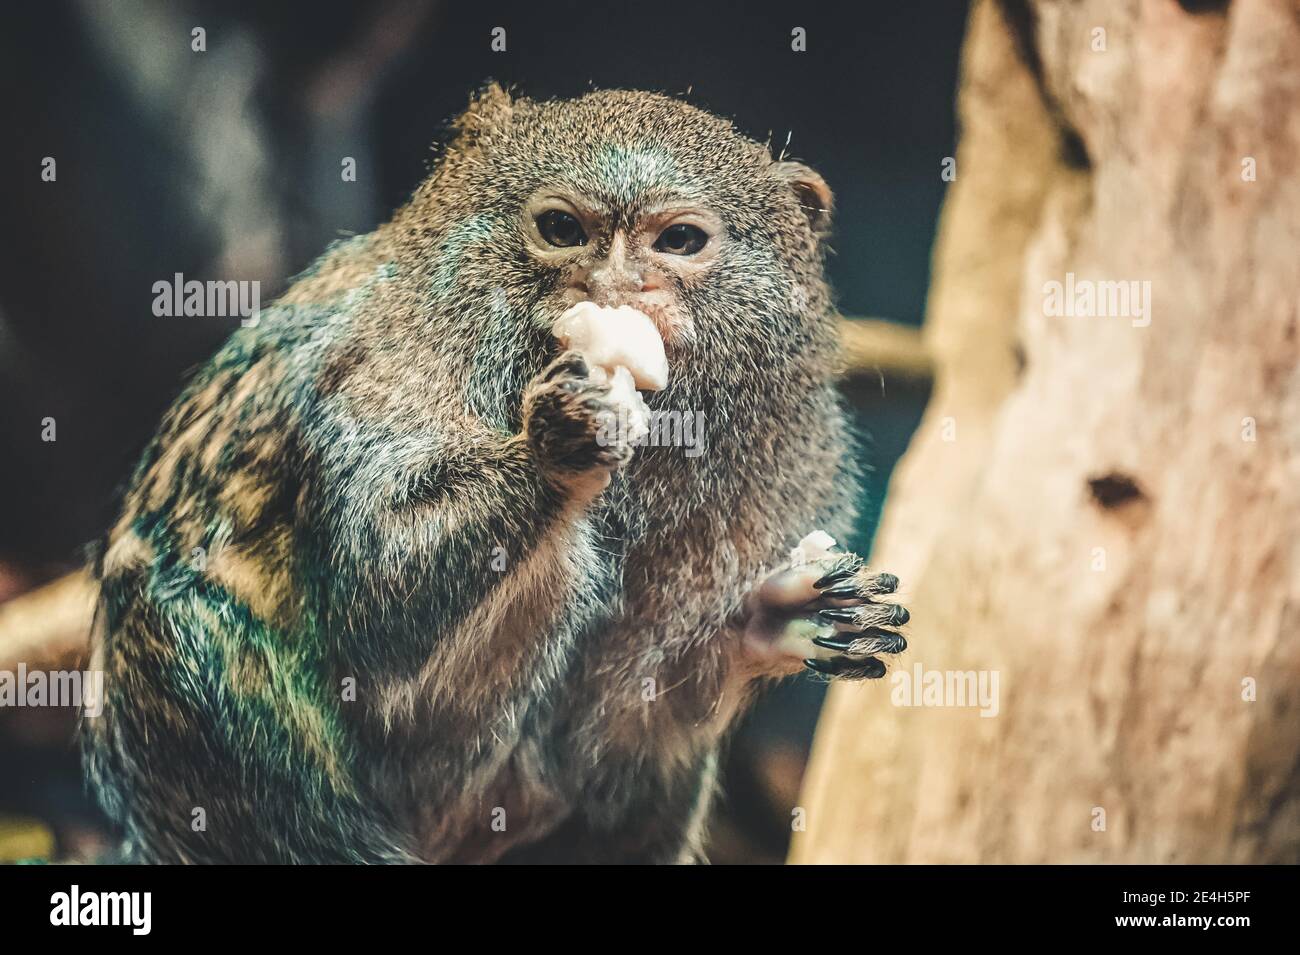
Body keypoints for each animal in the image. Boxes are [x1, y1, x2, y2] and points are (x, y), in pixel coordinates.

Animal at [82, 83, 909, 864]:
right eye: (563, 231)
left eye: (678, 241)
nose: (613, 286)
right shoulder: (371, 370)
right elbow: (377, 597)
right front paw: (563, 438)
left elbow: (635, 719)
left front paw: (782, 615)